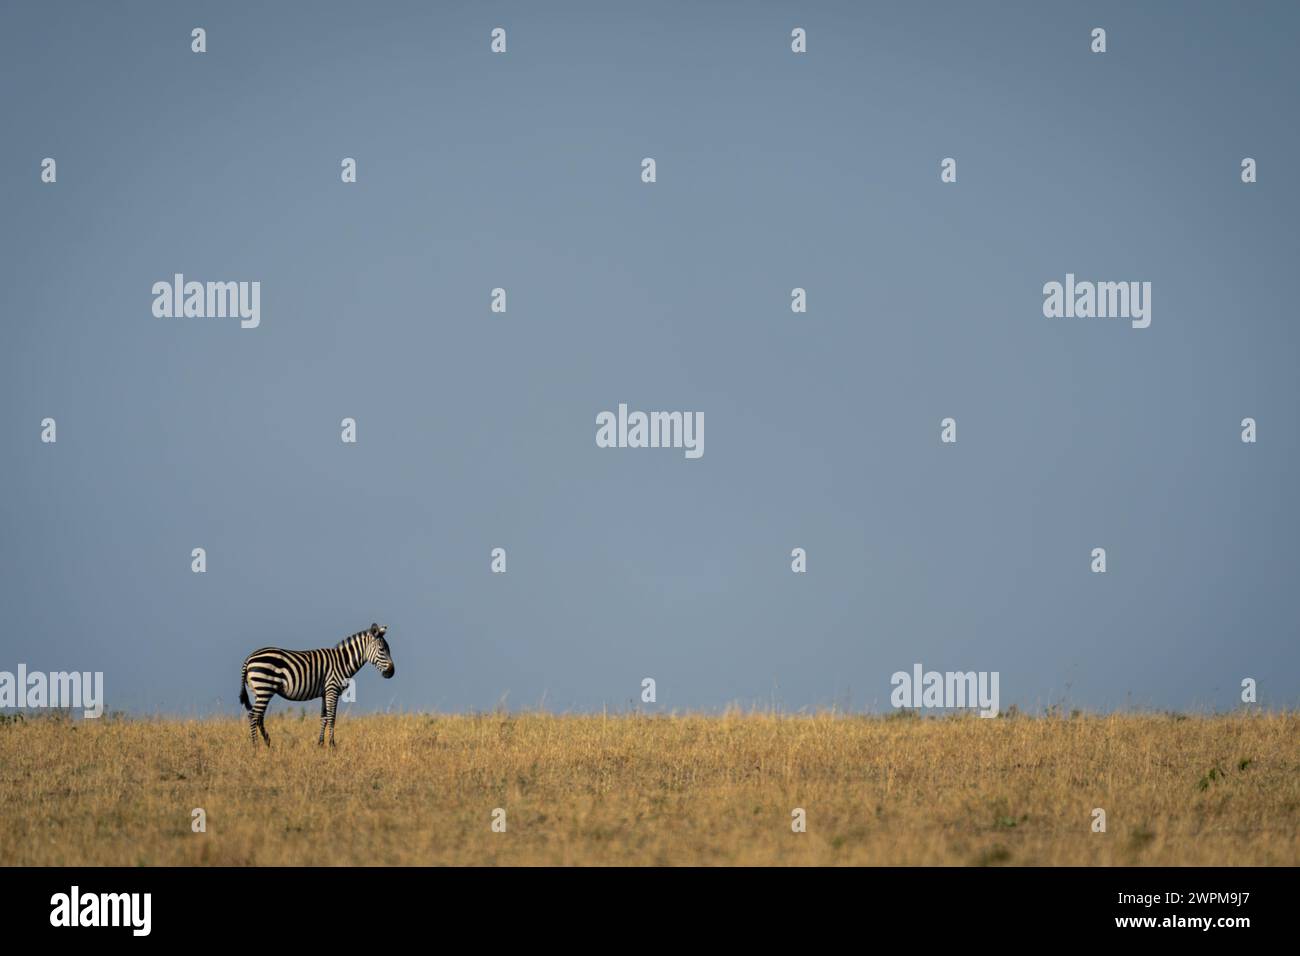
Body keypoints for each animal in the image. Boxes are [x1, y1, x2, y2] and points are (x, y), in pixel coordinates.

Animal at [239, 623, 395, 746]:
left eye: (389, 649)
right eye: (382, 649)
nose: (392, 672)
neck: (343, 662)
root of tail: (249, 658)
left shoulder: (325, 693)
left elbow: (323, 718)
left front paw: (320, 744)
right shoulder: (332, 690)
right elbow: (332, 717)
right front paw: (332, 745)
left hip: (258, 691)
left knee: (259, 717)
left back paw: (268, 743)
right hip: (264, 688)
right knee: (253, 716)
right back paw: (255, 746)